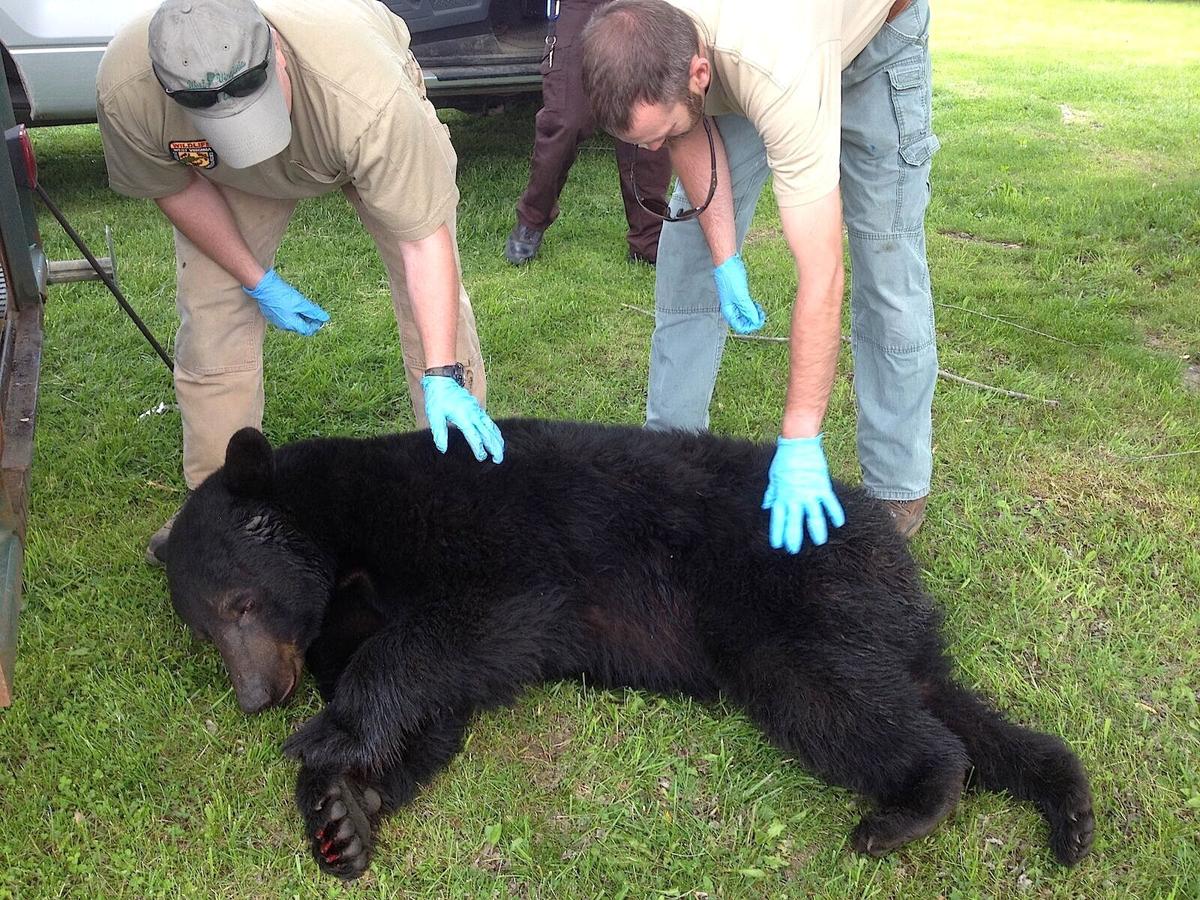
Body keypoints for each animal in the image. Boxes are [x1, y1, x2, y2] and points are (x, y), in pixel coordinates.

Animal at [163, 419, 1095, 880]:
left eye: (241, 601)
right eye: (203, 628)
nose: (257, 695)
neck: (343, 539)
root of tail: (879, 534)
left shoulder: (470, 527)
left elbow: (472, 621)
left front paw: (329, 740)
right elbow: (441, 704)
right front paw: (342, 814)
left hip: (790, 599)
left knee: (837, 700)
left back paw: (911, 806)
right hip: (869, 616)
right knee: (940, 698)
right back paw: (1069, 808)